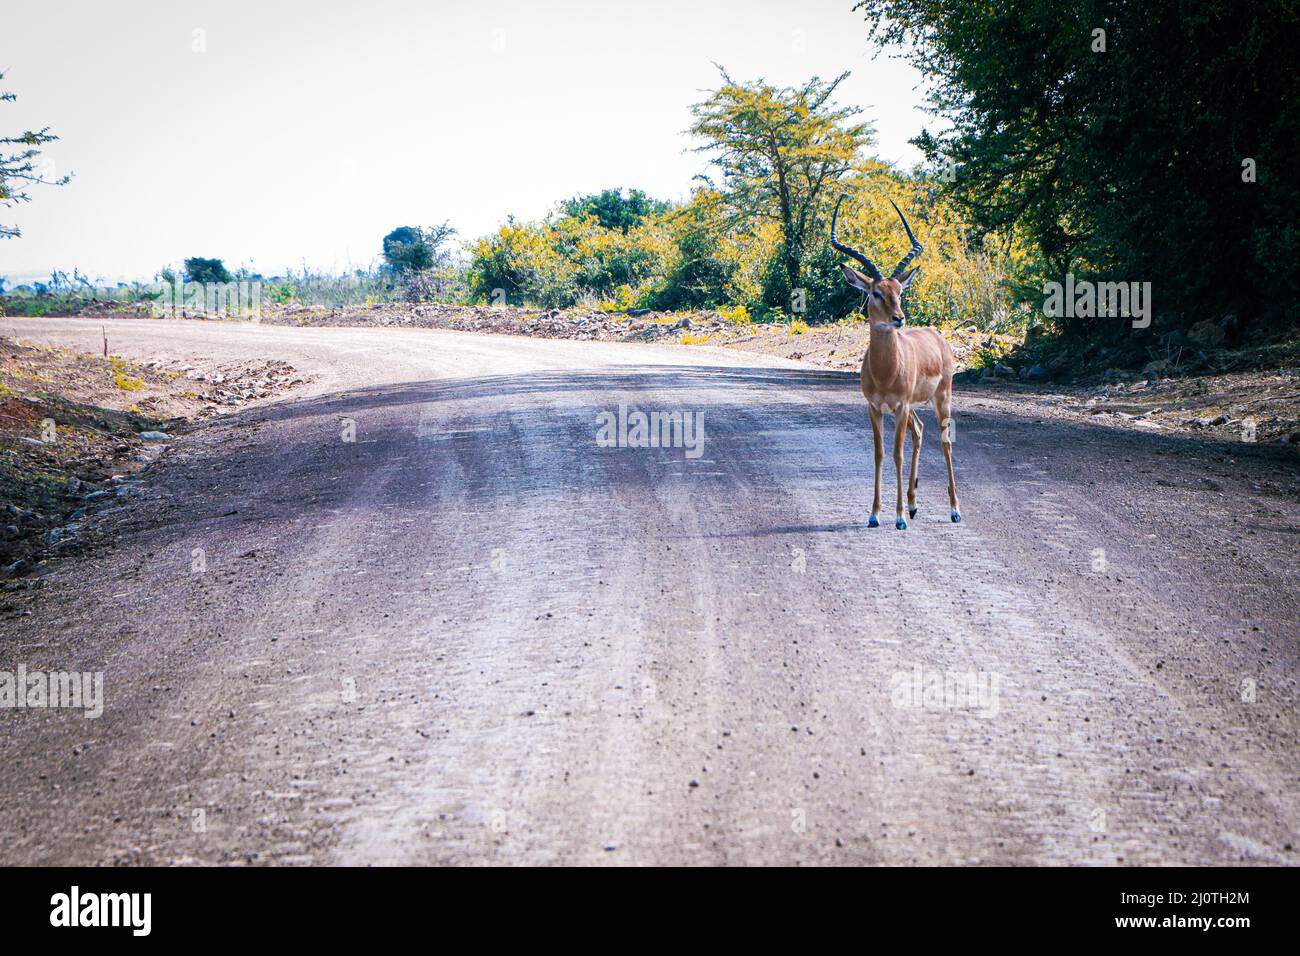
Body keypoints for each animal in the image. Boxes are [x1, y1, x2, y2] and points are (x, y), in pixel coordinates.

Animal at [830, 194, 961, 530]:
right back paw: (914, 505)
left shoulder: (899, 406)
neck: (885, 371)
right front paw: (875, 514)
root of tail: (937, 337)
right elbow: (878, 454)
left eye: (900, 290)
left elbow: (896, 454)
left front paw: (899, 517)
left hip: (941, 397)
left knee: (945, 442)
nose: (899, 318)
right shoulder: (875, 407)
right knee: (920, 430)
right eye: (877, 292)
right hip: (914, 406)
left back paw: (953, 510)